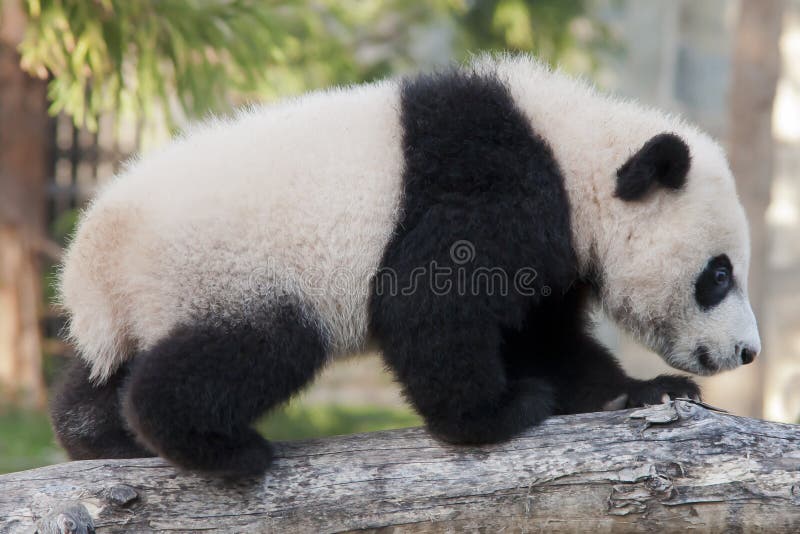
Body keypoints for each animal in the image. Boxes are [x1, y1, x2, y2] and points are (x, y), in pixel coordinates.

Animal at [51, 54, 761, 477]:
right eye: (719, 275)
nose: (748, 352)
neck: (578, 155)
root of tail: (94, 267)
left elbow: (541, 337)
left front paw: (648, 391)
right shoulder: (494, 187)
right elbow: (429, 304)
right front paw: (497, 414)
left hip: (144, 306)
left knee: (101, 372)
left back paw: (98, 436)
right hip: (229, 271)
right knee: (255, 346)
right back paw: (218, 446)